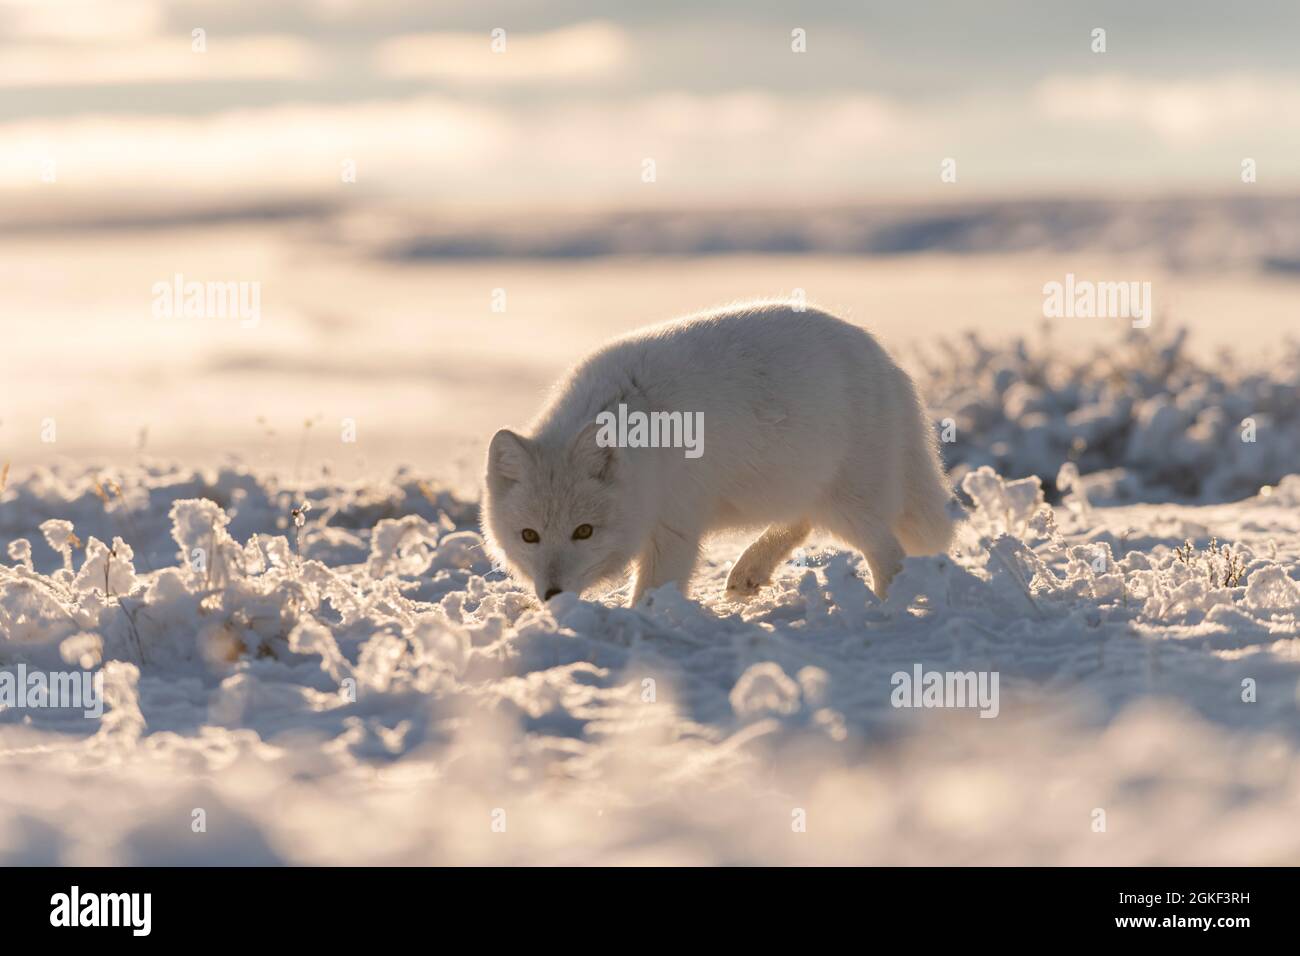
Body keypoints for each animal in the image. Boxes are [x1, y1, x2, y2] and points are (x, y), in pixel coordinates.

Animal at [481, 301, 955, 607]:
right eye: (529, 536)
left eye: (584, 531)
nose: (552, 596)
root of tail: (883, 358)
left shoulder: (673, 526)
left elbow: (651, 593)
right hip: (801, 486)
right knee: (802, 521)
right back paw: (749, 572)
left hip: (850, 504)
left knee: (888, 554)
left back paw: (888, 609)